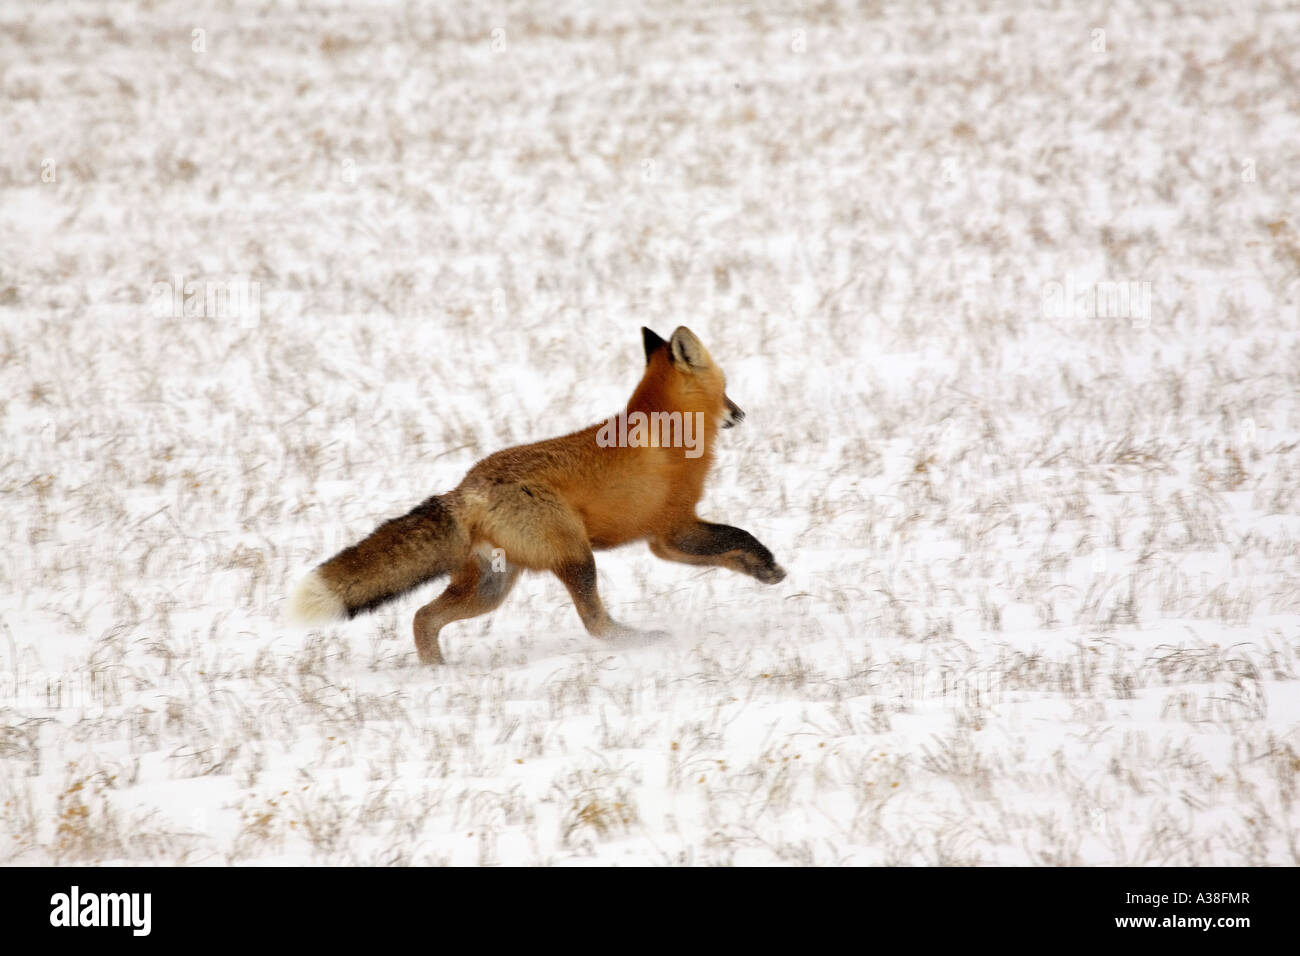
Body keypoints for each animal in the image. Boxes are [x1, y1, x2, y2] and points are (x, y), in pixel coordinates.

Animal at [289, 326, 786, 665]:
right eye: (727, 390)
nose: (741, 414)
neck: (668, 433)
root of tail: (465, 487)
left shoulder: (665, 539)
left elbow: (728, 552)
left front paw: (760, 571)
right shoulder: (672, 529)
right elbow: (738, 535)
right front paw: (769, 565)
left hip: (491, 587)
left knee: (422, 617)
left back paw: (437, 673)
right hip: (577, 559)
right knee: (596, 624)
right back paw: (641, 642)